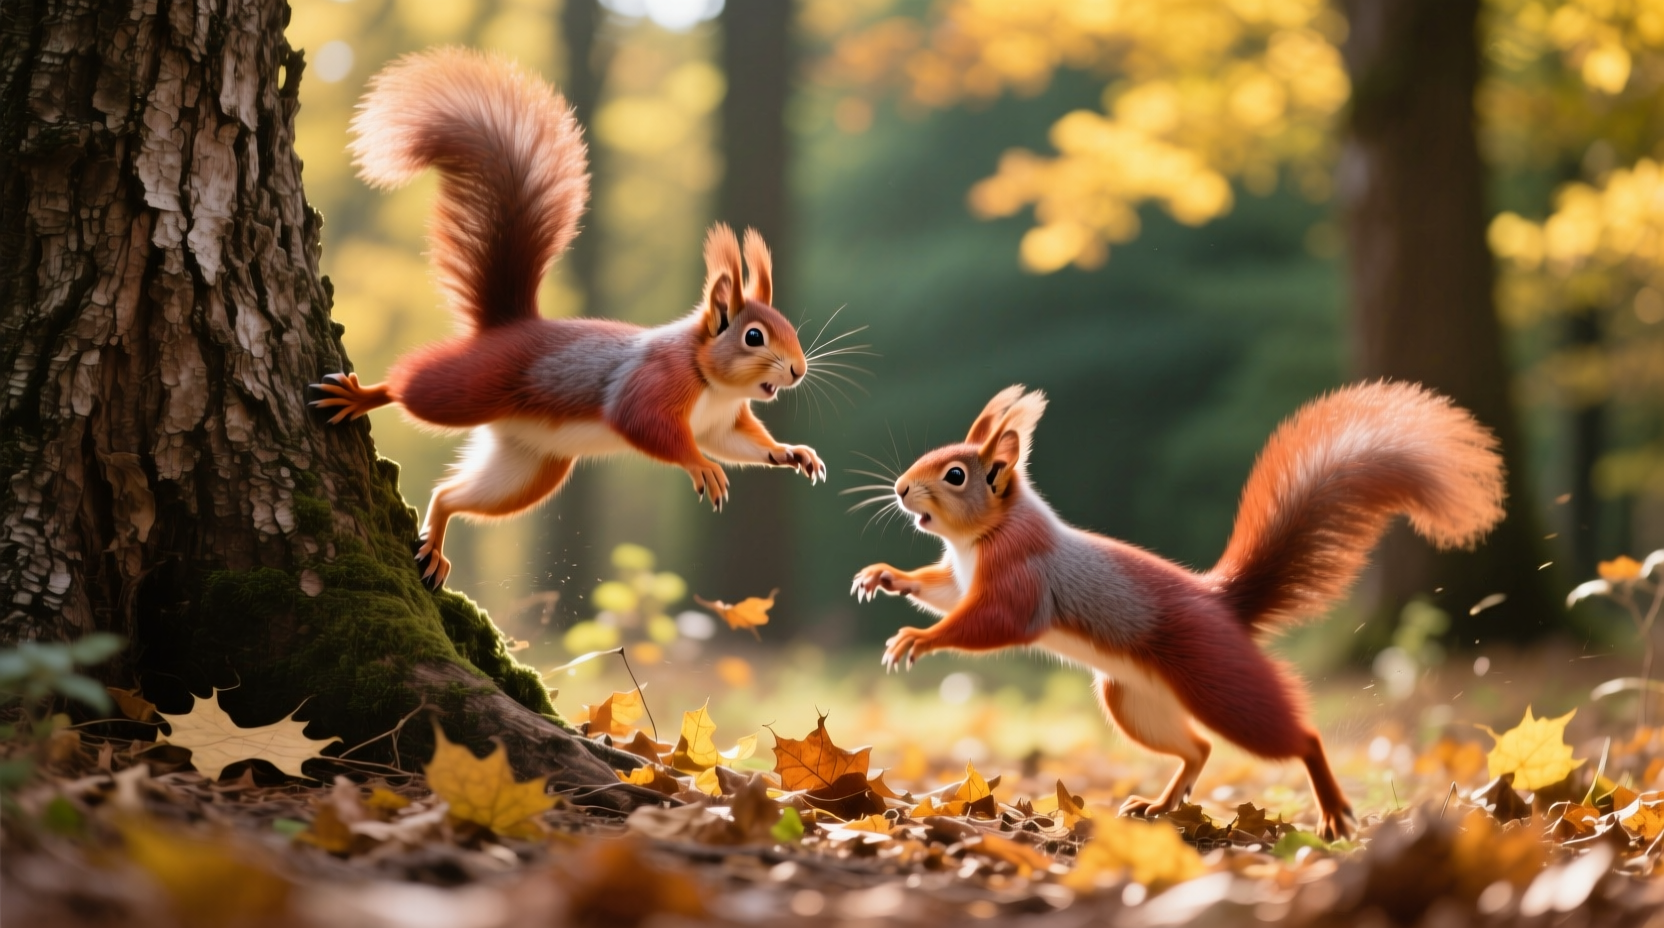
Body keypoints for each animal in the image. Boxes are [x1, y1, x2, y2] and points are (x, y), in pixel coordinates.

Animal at [309, 49, 824, 589]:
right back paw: (361, 395)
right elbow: (646, 425)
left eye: (787, 326)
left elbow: (737, 442)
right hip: (470, 388)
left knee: (450, 493)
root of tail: (508, 325)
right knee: (410, 387)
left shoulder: (721, 422)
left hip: (531, 466)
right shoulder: (651, 384)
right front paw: (699, 465)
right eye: (753, 336)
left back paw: (435, 544)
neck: (711, 383)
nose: (798, 370)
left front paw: (790, 452)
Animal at [849, 381, 1505, 838]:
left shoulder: (1021, 578)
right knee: (1198, 750)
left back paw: (1330, 809)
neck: (981, 539)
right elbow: (940, 590)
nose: (901, 489)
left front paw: (917, 639)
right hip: (1133, 699)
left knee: (1296, 738)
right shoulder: (961, 577)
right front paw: (883, 576)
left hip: (1220, 683)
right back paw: (1160, 805)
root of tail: (1222, 604)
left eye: (956, 475)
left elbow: (991, 622)